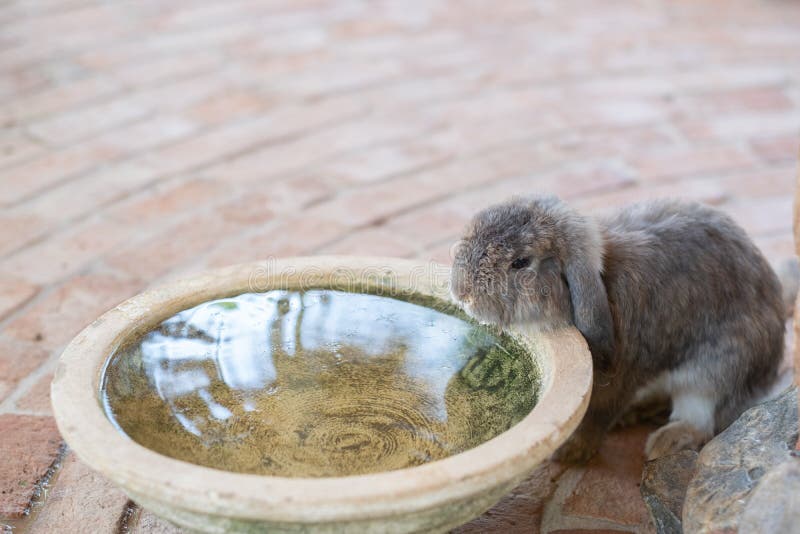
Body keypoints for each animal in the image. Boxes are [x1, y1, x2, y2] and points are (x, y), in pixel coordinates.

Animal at [450, 195, 788, 463]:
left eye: (520, 262)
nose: (461, 292)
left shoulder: (621, 379)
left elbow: (597, 418)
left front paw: (571, 451)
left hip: (719, 367)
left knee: (701, 419)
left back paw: (665, 442)